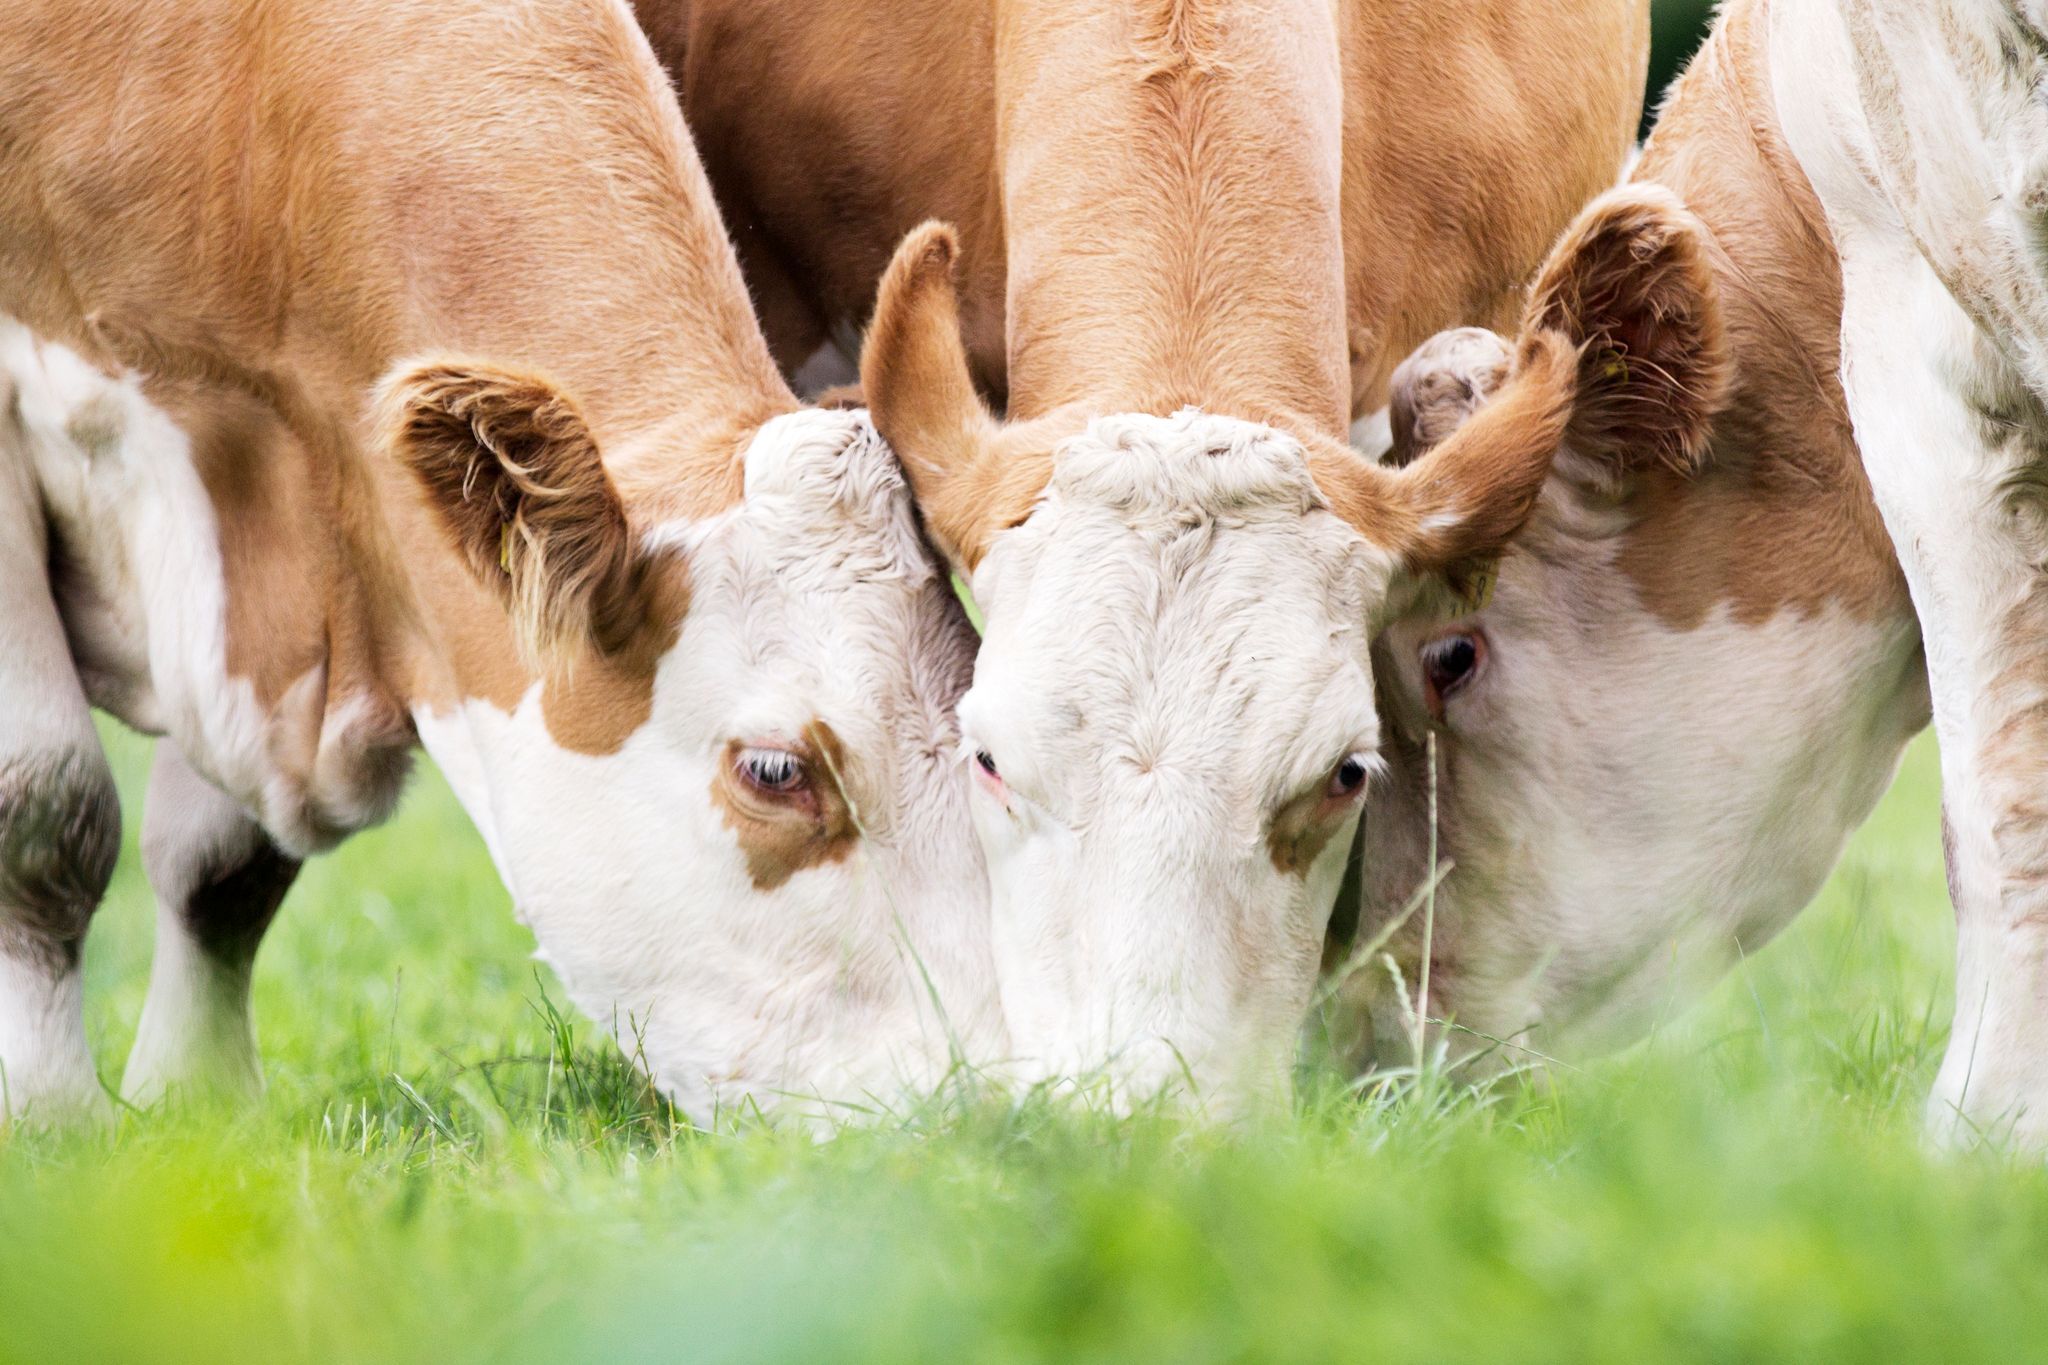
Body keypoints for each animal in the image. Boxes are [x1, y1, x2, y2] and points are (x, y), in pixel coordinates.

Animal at [0, 0, 1000, 1125]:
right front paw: (55, 1122)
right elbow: (45, 812)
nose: (997, 1102)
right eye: (776, 771)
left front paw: (195, 1105)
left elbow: (223, 864)